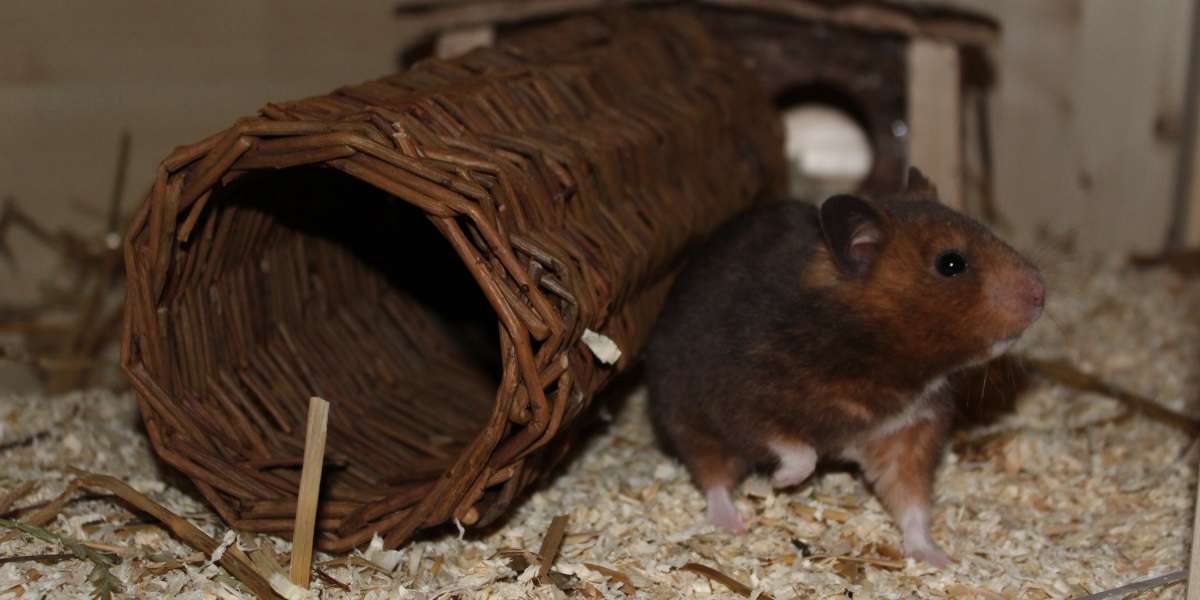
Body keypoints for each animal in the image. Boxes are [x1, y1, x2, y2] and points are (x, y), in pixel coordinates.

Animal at [645, 168, 1044, 567]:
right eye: (951, 263)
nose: (1042, 293)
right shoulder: (746, 403)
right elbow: (800, 452)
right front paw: (779, 482)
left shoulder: (909, 433)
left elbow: (912, 502)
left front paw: (936, 558)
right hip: (686, 416)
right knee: (712, 473)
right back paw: (732, 525)